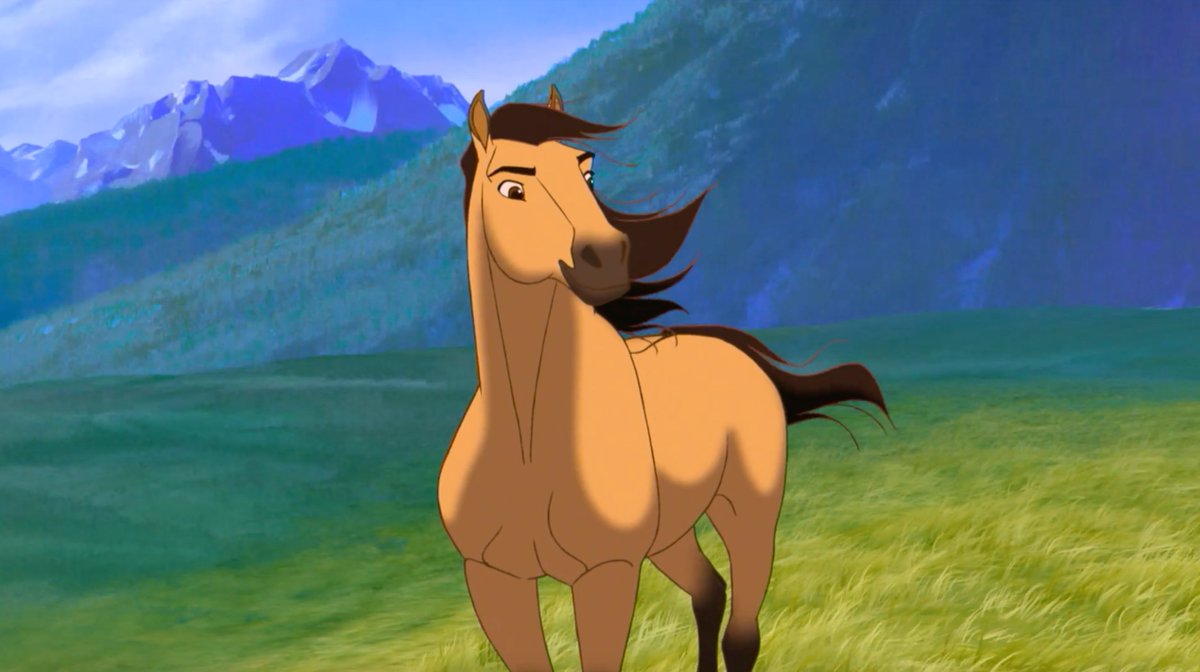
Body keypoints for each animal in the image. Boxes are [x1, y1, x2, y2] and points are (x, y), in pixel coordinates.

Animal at [437, 85, 889, 672]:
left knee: (742, 631)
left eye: (587, 173)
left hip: (748, 511)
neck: (528, 449)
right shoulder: (493, 580)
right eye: (511, 187)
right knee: (709, 590)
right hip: (670, 535)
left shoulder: (608, 573)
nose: (606, 259)